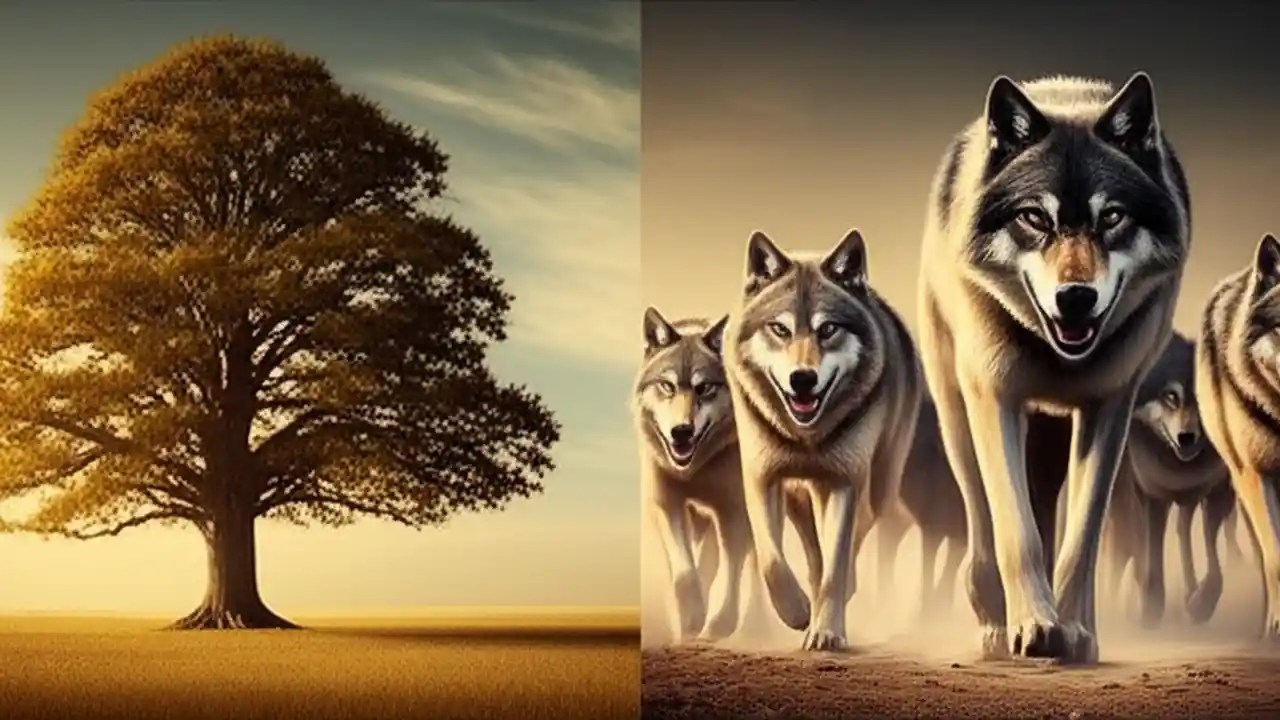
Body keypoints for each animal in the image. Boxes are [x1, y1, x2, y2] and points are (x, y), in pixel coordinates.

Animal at [636, 307, 821, 642]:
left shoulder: (734, 510)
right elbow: (686, 569)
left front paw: (722, 623)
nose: (681, 431)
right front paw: (690, 616)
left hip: (794, 504)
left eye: (704, 388)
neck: (697, 469)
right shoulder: (667, 503)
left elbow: (739, 568)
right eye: (667, 386)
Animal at [723, 228, 923, 651]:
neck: (806, 439)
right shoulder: (761, 479)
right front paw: (797, 611)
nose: (803, 379)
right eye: (780, 329)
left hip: (877, 491)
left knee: (850, 542)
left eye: (828, 329)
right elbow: (771, 560)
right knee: (812, 552)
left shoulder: (843, 482)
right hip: (800, 497)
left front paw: (826, 631)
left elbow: (836, 564)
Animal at [877, 396, 968, 616]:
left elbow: (951, 566)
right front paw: (926, 611)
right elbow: (929, 567)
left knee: (887, 546)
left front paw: (940, 606)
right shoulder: (932, 525)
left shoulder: (961, 533)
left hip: (899, 517)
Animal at [917, 72, 1191, 662]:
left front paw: (1076, 631)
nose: (1076, 298)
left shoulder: (1110, 406)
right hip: (956, 415)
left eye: (1111, 217)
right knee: (981, 516)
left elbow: (1080, 538)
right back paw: (995, 623)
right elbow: (1016, 530)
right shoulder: (994, 397)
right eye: (1034, 217)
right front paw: (1034, 625)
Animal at [1092, 332, 1236, 627]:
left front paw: (1201, 604)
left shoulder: (1217, 495)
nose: (1186, 437)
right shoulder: (1153, 499)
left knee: (1181, 531)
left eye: (1200, 396)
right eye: (1171, 397)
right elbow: (1150, 563)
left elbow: (1214, 565)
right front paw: (1149, 609)